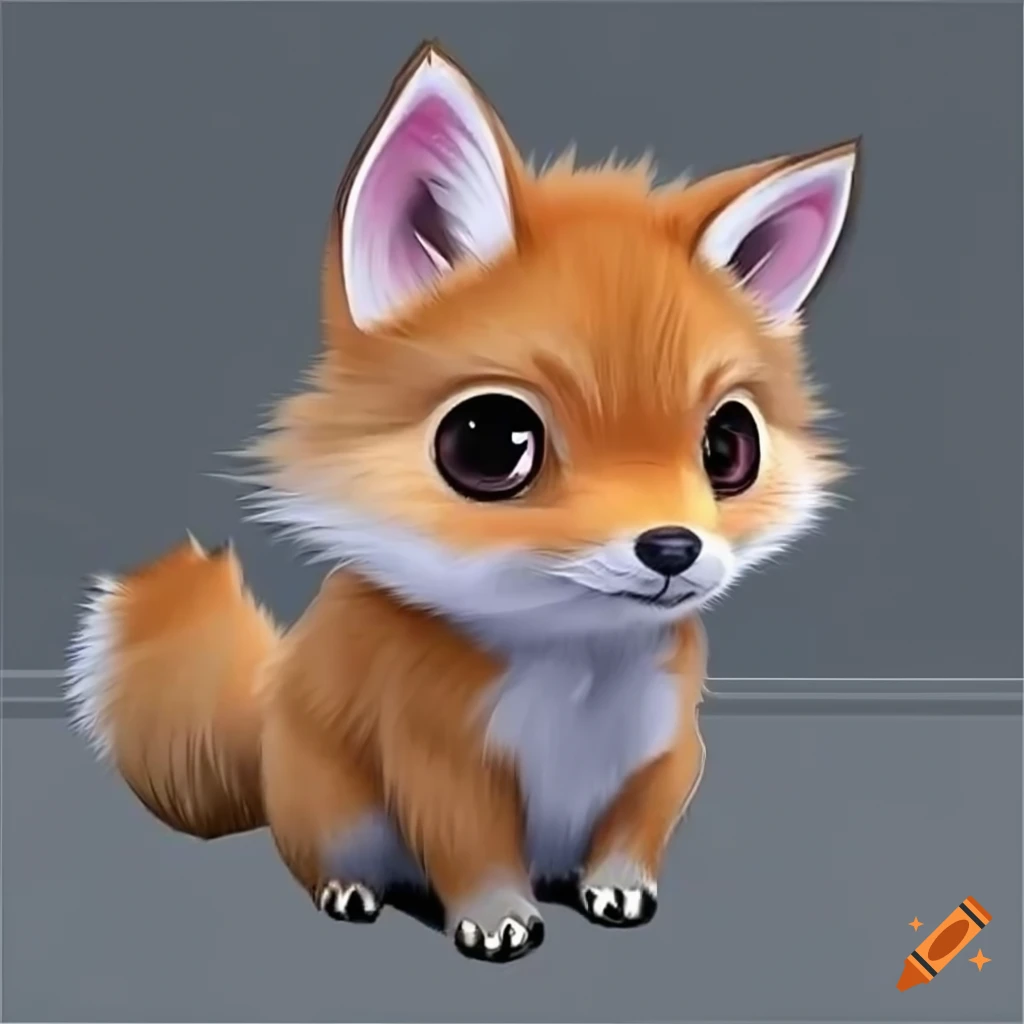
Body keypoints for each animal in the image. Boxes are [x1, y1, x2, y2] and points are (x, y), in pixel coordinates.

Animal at [65, 40, 858, 964]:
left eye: (728, 447)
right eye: (490, 443)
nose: (672, 547)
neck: (578, 674)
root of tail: (267, 714)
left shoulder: (665, 752)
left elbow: (636, 832)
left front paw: (619, 887)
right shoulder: (437, 765)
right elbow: (472, 851)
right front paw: (495, 917)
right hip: (335, 809)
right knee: (323, 857)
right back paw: (349, 890)